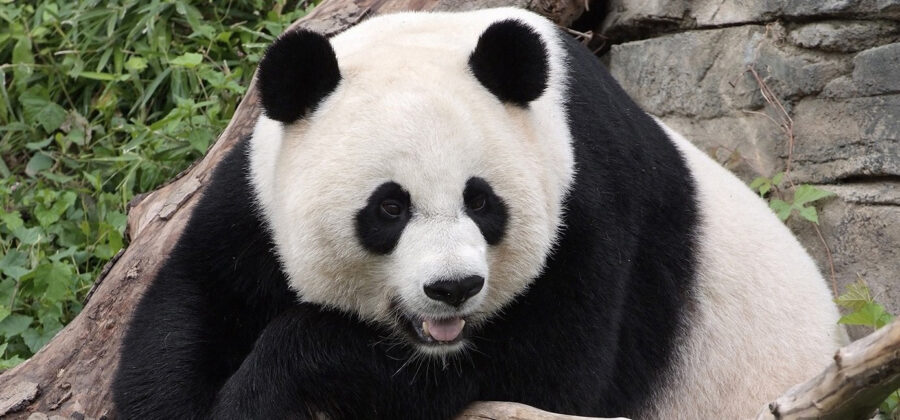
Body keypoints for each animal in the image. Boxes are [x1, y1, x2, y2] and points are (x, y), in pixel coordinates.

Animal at [112, 7, 848, 419]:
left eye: (481, 201)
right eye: (388, 207)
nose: (453, 288)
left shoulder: (592, 197)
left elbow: (547, 372)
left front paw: (259, 392)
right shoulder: (256, 195)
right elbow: (192, 303)